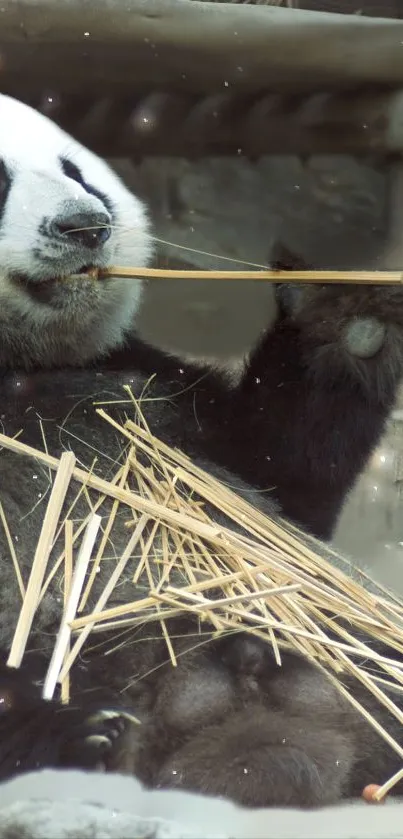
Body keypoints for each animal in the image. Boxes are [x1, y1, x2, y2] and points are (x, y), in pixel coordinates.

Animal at [0, 93, 402, 808]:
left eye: (76, 171)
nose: (85, 226)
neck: (16, 360)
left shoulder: (139, 377)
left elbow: (281, 479)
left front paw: (348, 312)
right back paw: (85, 735)